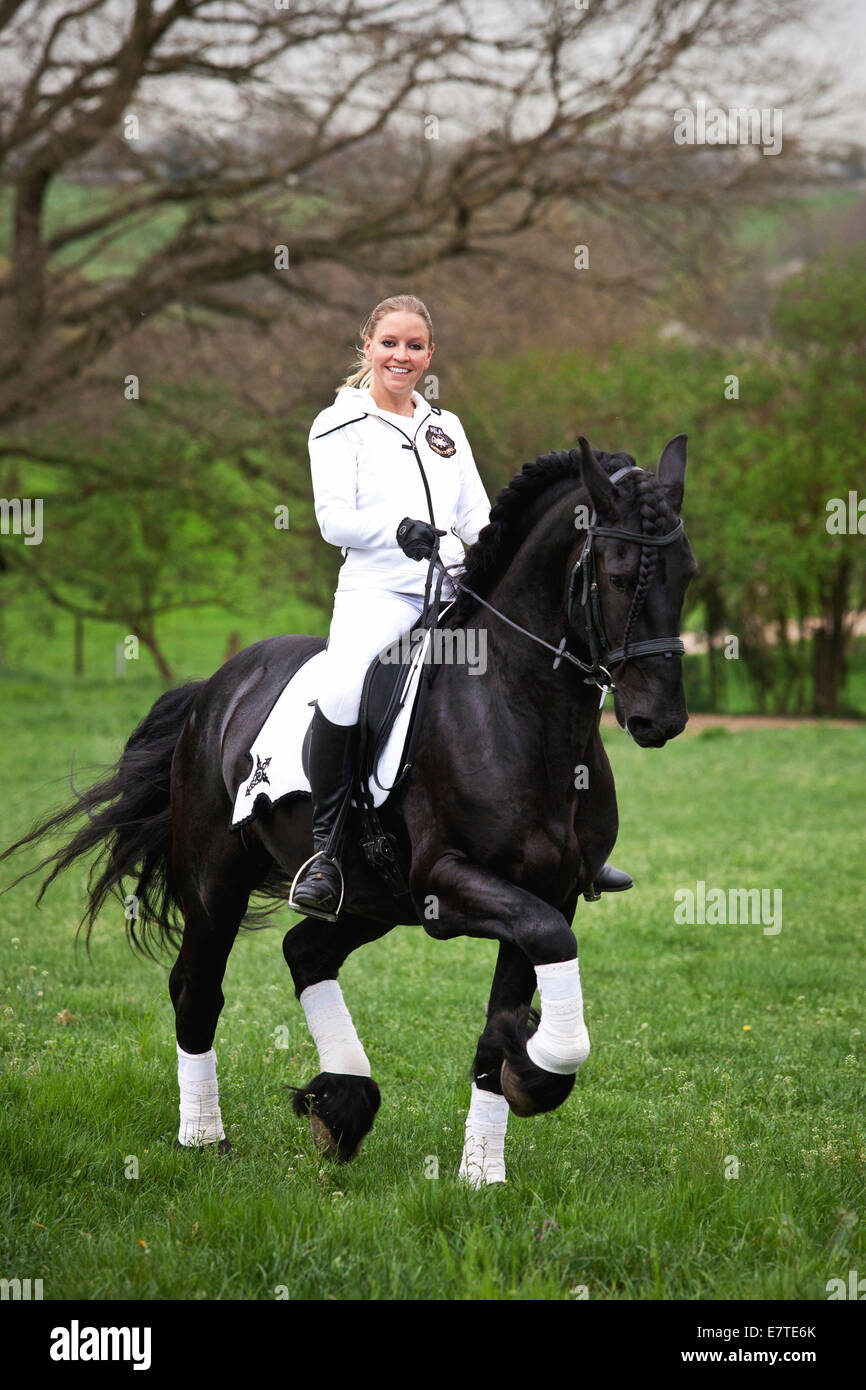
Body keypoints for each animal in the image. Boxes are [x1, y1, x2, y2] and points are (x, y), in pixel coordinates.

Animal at [0, 435, 696, 1181]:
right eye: (619, 577)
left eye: (687, 575)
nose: (660, 719)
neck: (520, 712)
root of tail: (216, 686)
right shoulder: (447, 883)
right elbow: (549, 946)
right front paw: (537, 1073)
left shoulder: (549, 890)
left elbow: (511, 1001)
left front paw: (484, 1166)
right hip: (218, 883)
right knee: (198, 989)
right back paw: (206, 1138)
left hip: (368, 898)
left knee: (304, 951)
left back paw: (342, 1104)